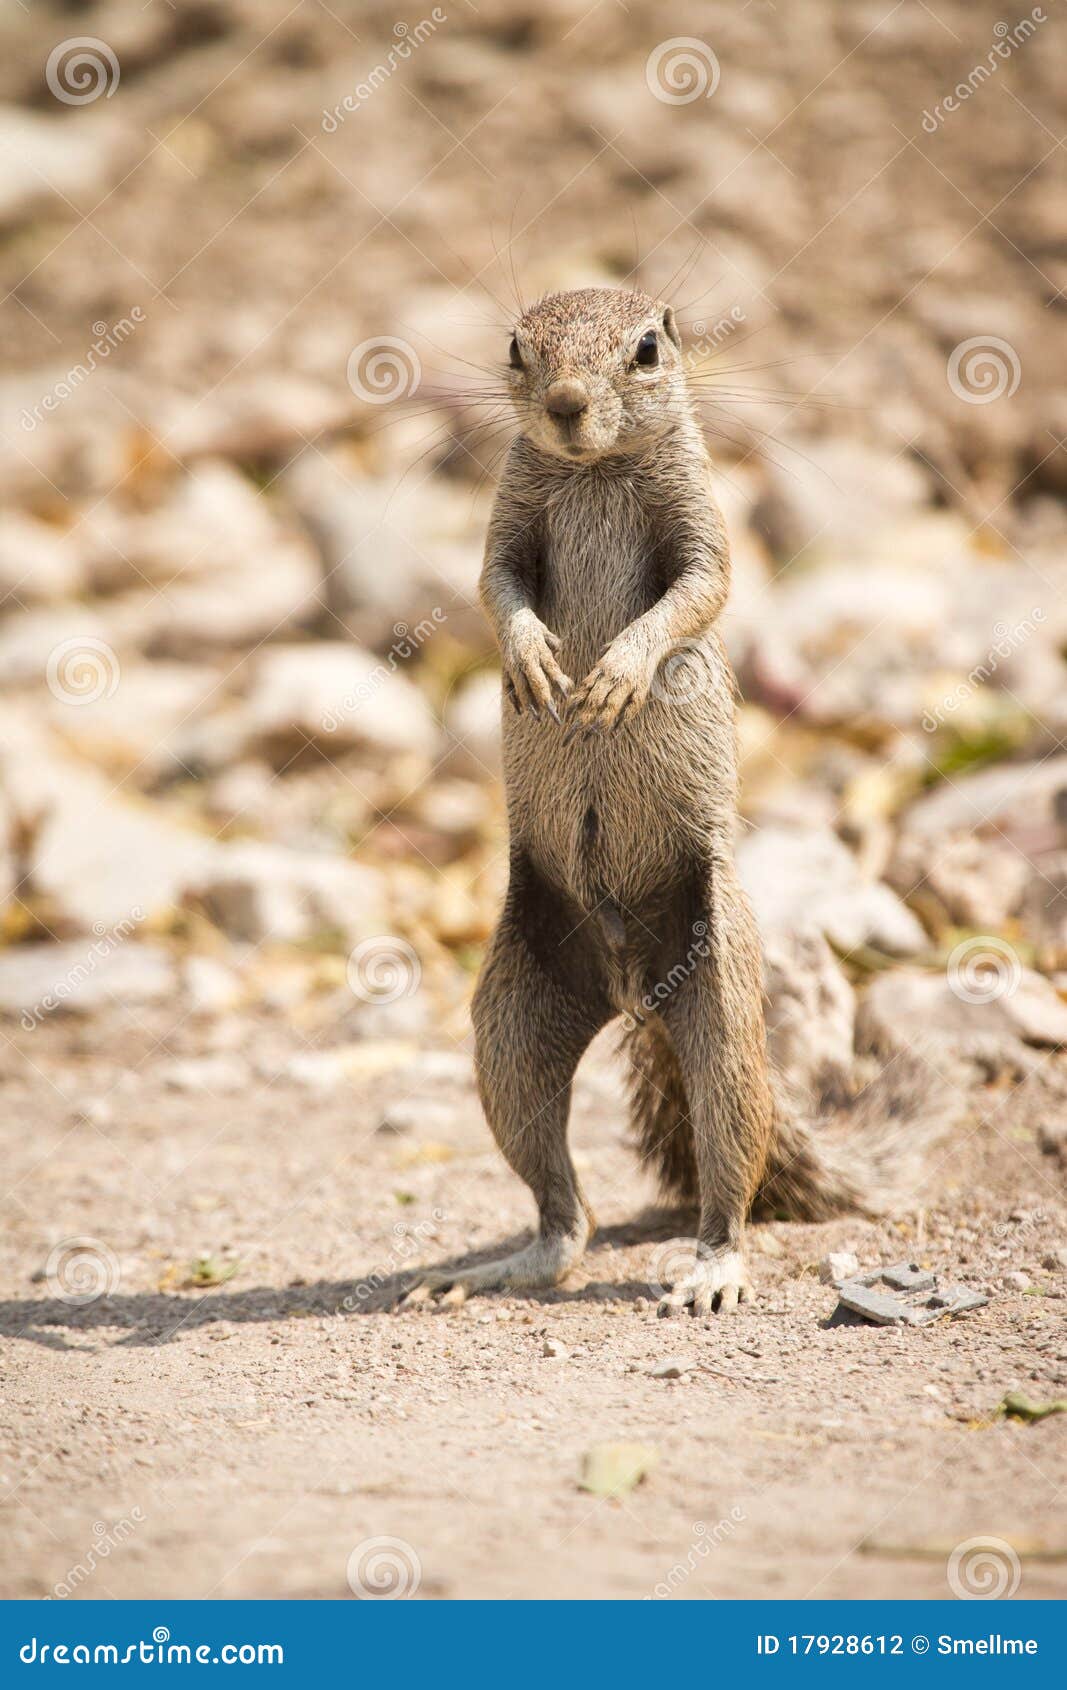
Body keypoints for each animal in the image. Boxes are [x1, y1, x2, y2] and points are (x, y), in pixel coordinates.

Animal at [408, 286, 948, 1316]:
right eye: (516, 349)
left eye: (647, 349)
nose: (565, 405)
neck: (593, 470)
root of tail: (633, 992)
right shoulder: (508, 518)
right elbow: (495, 586)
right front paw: (533, 661)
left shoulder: (698, 516)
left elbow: (697, 589)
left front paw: (616, 673)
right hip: (507, 1028)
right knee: (561, 1210)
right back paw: (499, 1265)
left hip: (726, 1011)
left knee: (726, 1166)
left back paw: (712, 1270)